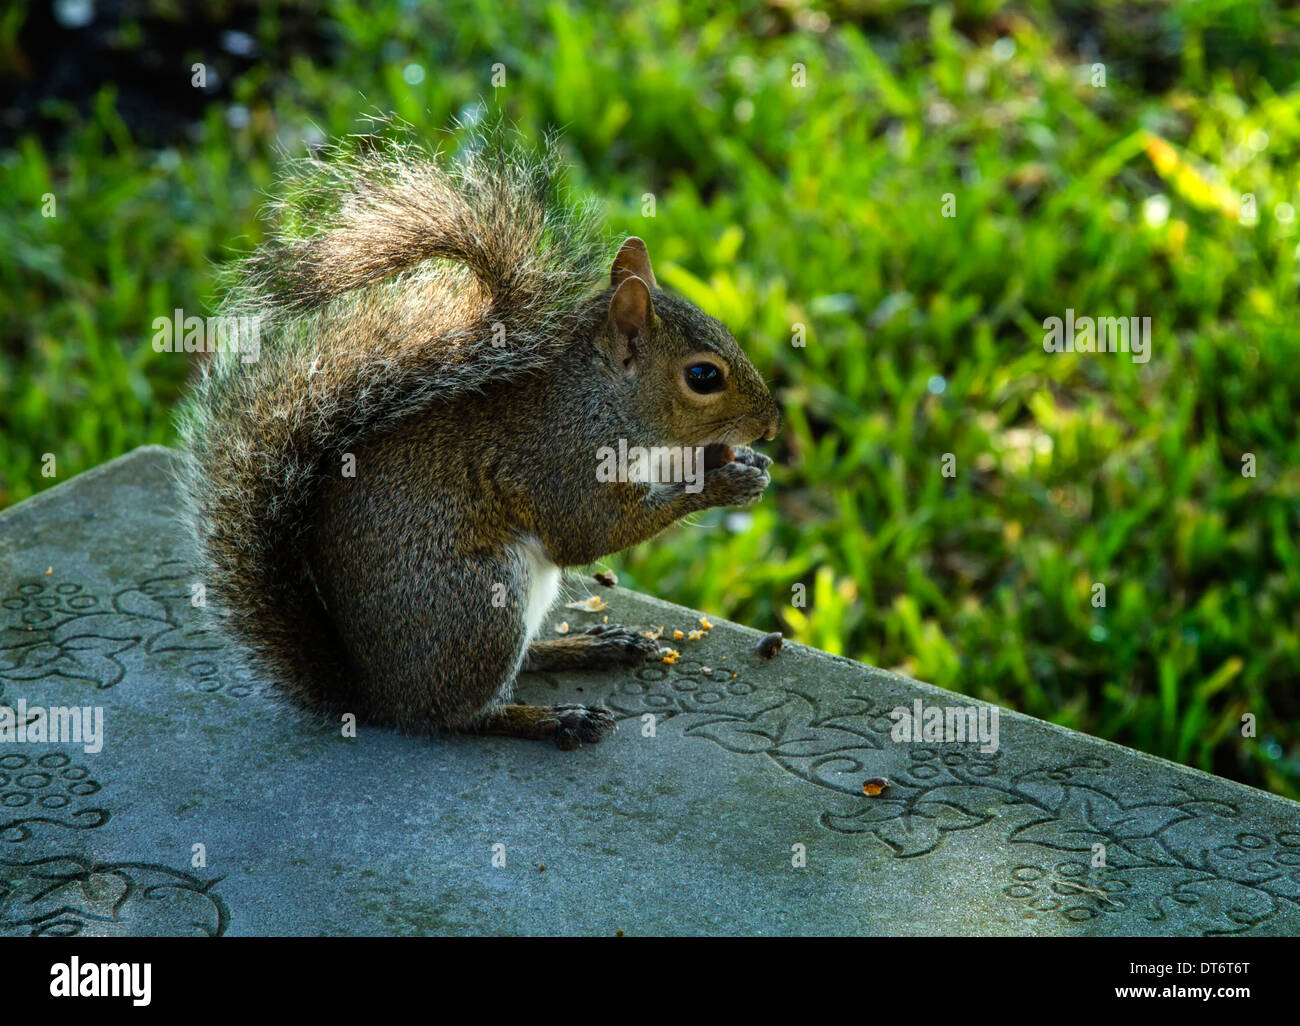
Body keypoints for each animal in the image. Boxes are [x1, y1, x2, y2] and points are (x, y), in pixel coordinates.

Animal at [178, 125, 781, 749]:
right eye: (704, 376)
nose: (772, 425)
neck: (602, 404)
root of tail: (377, 694)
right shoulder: (560, 463)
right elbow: (589, 534)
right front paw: (725, 483)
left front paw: (742, 461)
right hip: (480, 601)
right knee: (463, 713)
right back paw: (553, 718)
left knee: (523, 661)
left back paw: (591, 646)